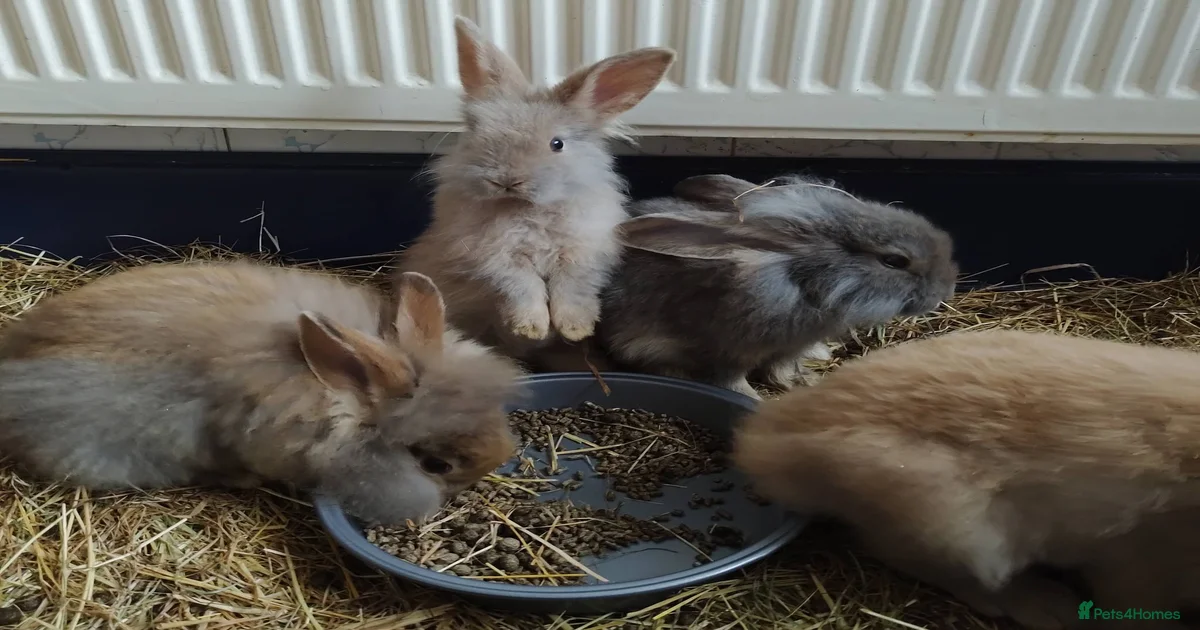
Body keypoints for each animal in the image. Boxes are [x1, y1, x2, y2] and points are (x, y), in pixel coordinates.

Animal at [397, 15, 676, 366]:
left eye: (557, 144)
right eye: (476, 132)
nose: (505, 180)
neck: (527, 209)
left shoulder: (582, 256)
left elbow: (572, 292)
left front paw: (575, 328)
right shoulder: (497, 262)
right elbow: (524, 289)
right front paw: (532, 327)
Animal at [595, 173, 958, 399]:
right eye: (894, 261)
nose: (947, 288)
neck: (806, 284)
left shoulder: (787, 349)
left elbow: (781, 370)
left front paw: (805, 382)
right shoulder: (728, 353)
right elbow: (732, 382)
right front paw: (757, 399)